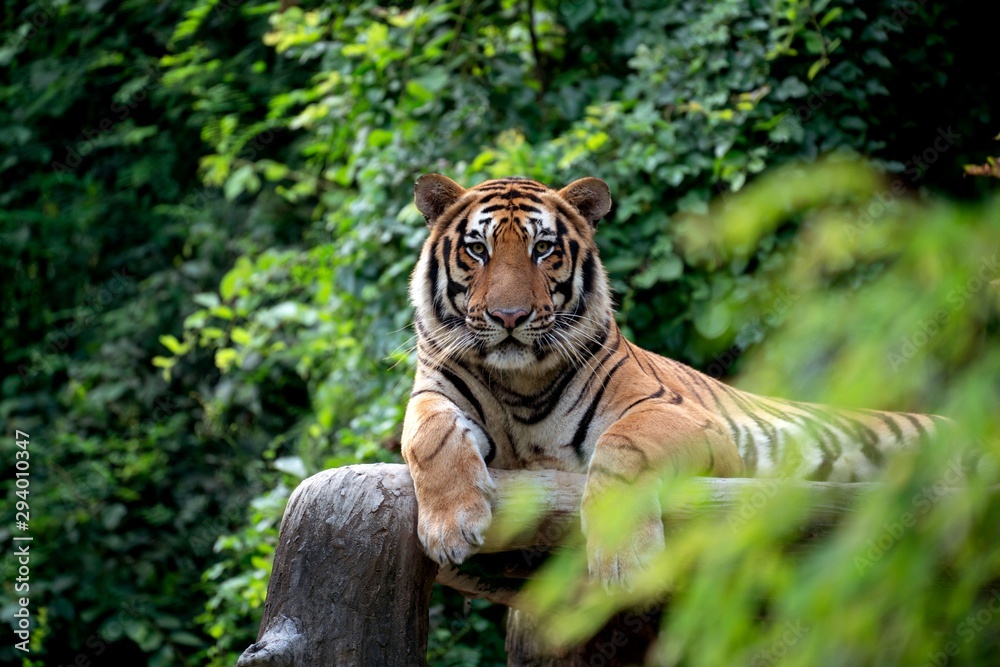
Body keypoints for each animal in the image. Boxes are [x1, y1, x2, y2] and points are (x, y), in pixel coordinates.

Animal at [401, 173, 944, 587]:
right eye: (477, 250)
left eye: (543, 249)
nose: (509, 317)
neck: (519, 384)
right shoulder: (432, 392)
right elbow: (428, 435)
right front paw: (451, 527)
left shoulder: (687, 418)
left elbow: (622, 445)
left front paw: (624, 561)